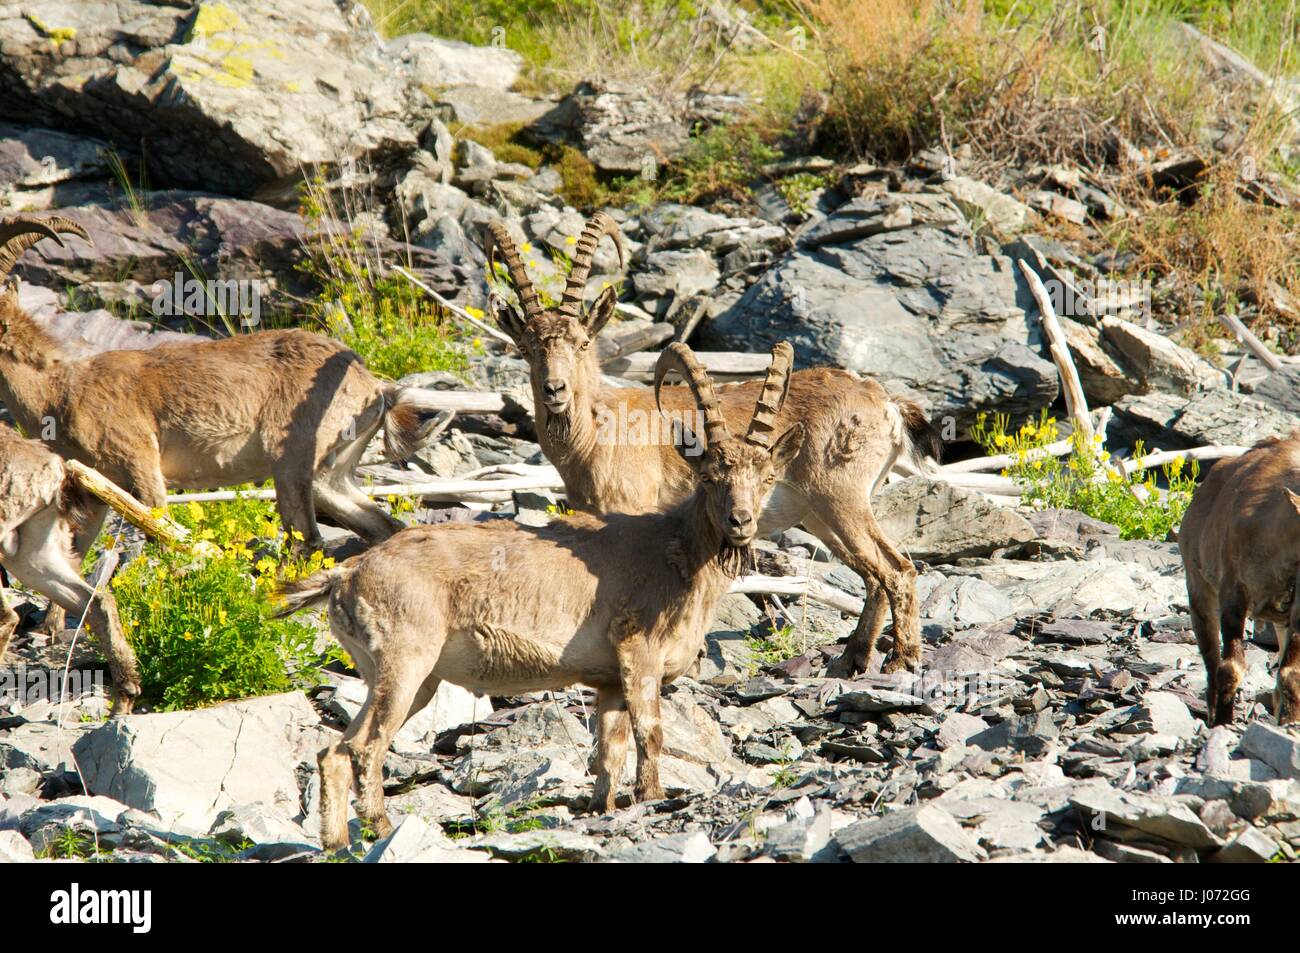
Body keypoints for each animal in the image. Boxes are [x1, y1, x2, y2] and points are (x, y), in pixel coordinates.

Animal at [0, 215, 446, 632]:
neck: (60, 390)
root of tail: (373, 387)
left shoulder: (139, 463)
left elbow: (161, 534)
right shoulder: (95, 490)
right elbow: (76, 551)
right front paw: (54, 627)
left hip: (292, 466)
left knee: (306, 538)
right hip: (330, 477)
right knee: (380, 524)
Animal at [277, 342, 805, 850]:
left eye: (765, 478)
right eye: (710, 476)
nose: (741, 522)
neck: (676, 552)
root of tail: (348, 573)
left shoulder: (608, 680)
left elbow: (609, 749)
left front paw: (601, 807)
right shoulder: (638, 652)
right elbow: (649, 733)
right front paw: (652, 798)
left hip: (387, 674)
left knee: (332, 752)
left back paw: (336, 840)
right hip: (405, 660)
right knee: (364, 748)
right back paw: (383, 828)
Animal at [483, 213, 939, 677]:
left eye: (582, 342)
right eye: (526, 347)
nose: (554, 390)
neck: (596, 433)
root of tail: (886, 403)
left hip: (840, 498)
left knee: (897, 569)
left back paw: (901, 659)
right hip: (819, 515)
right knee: (874, 575)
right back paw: (853, 658)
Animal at [1181, 433, 1300, 726]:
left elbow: (1291, 674)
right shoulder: (1233, 590)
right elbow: (1229, 668)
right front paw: (1223, 724)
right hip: (1198, 587)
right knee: (1211, 663)